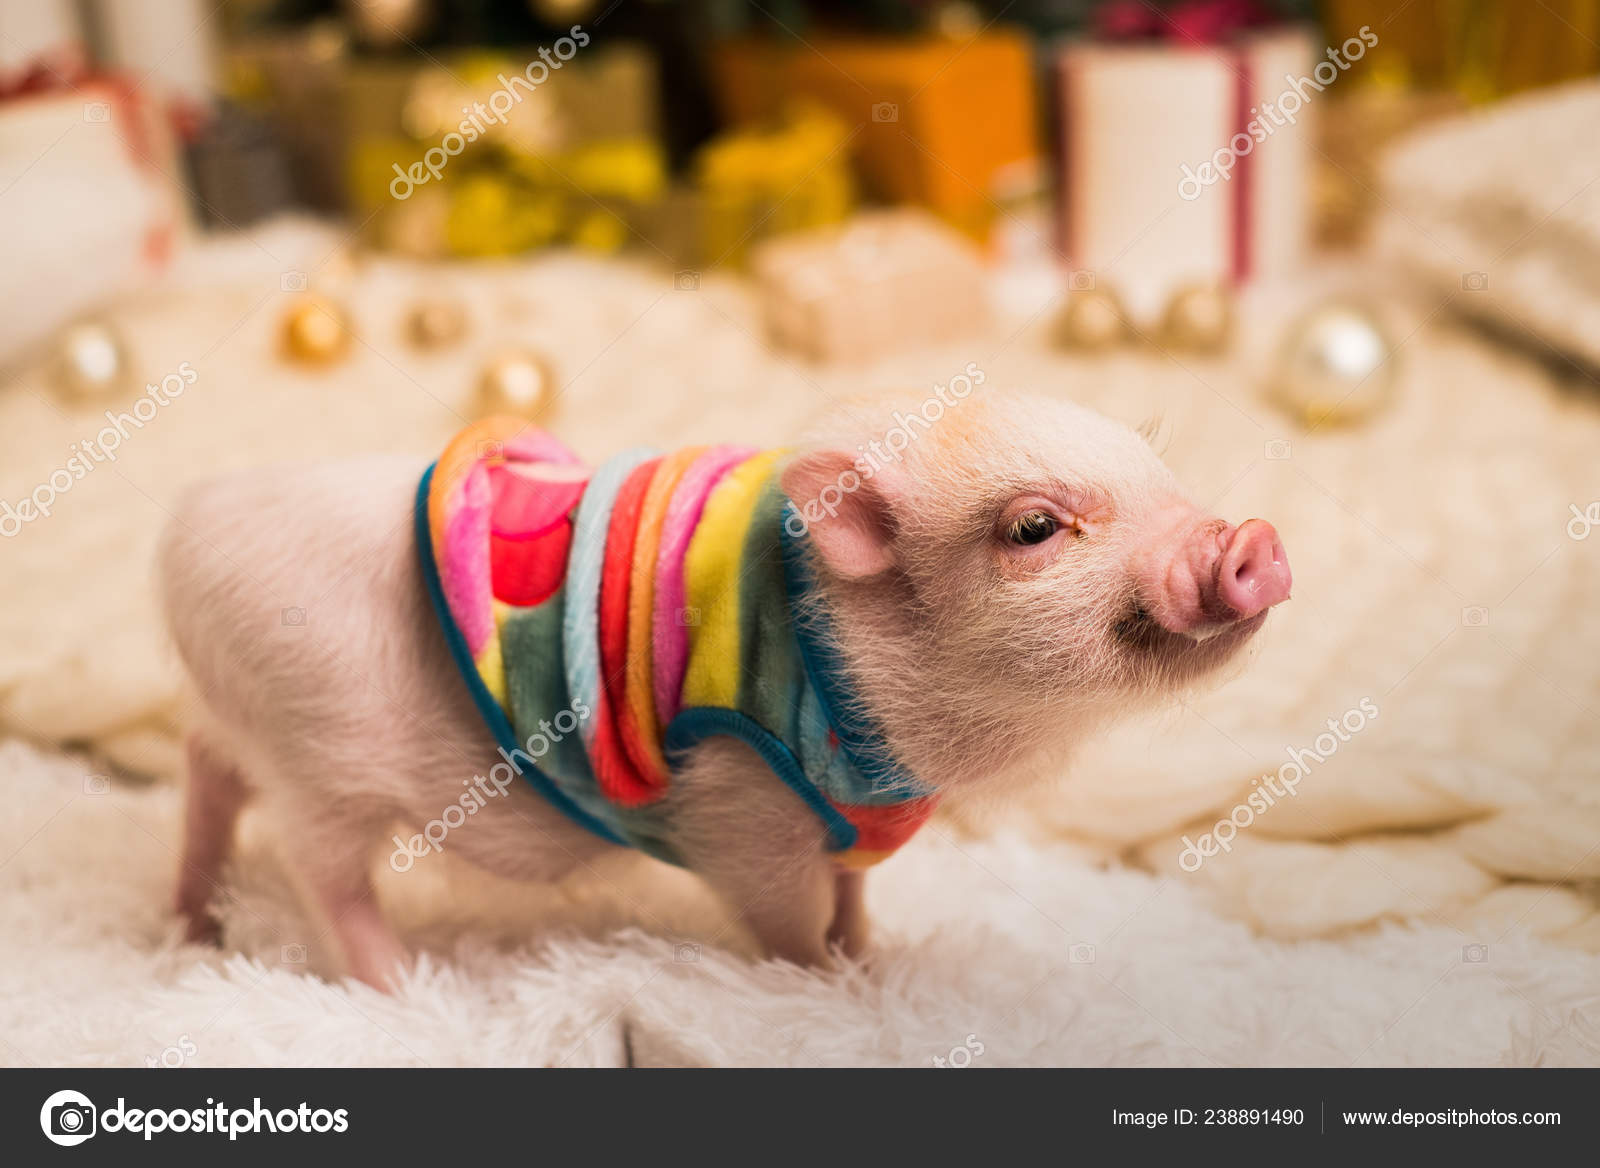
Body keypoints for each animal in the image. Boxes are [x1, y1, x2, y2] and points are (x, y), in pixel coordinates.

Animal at [158, 389, 1289, 989]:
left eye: (1161, 475)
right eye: (1034, 528)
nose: (1251, 537)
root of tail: (187, 529)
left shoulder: (846, 824)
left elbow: (853, 897)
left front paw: (869, 957)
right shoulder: (740, 809)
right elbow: (784, 917)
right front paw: (832, 986)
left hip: (239, 722)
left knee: (206, 774)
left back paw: (189, 923)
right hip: (320, 758)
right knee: (314, 866)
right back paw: (397, 978)